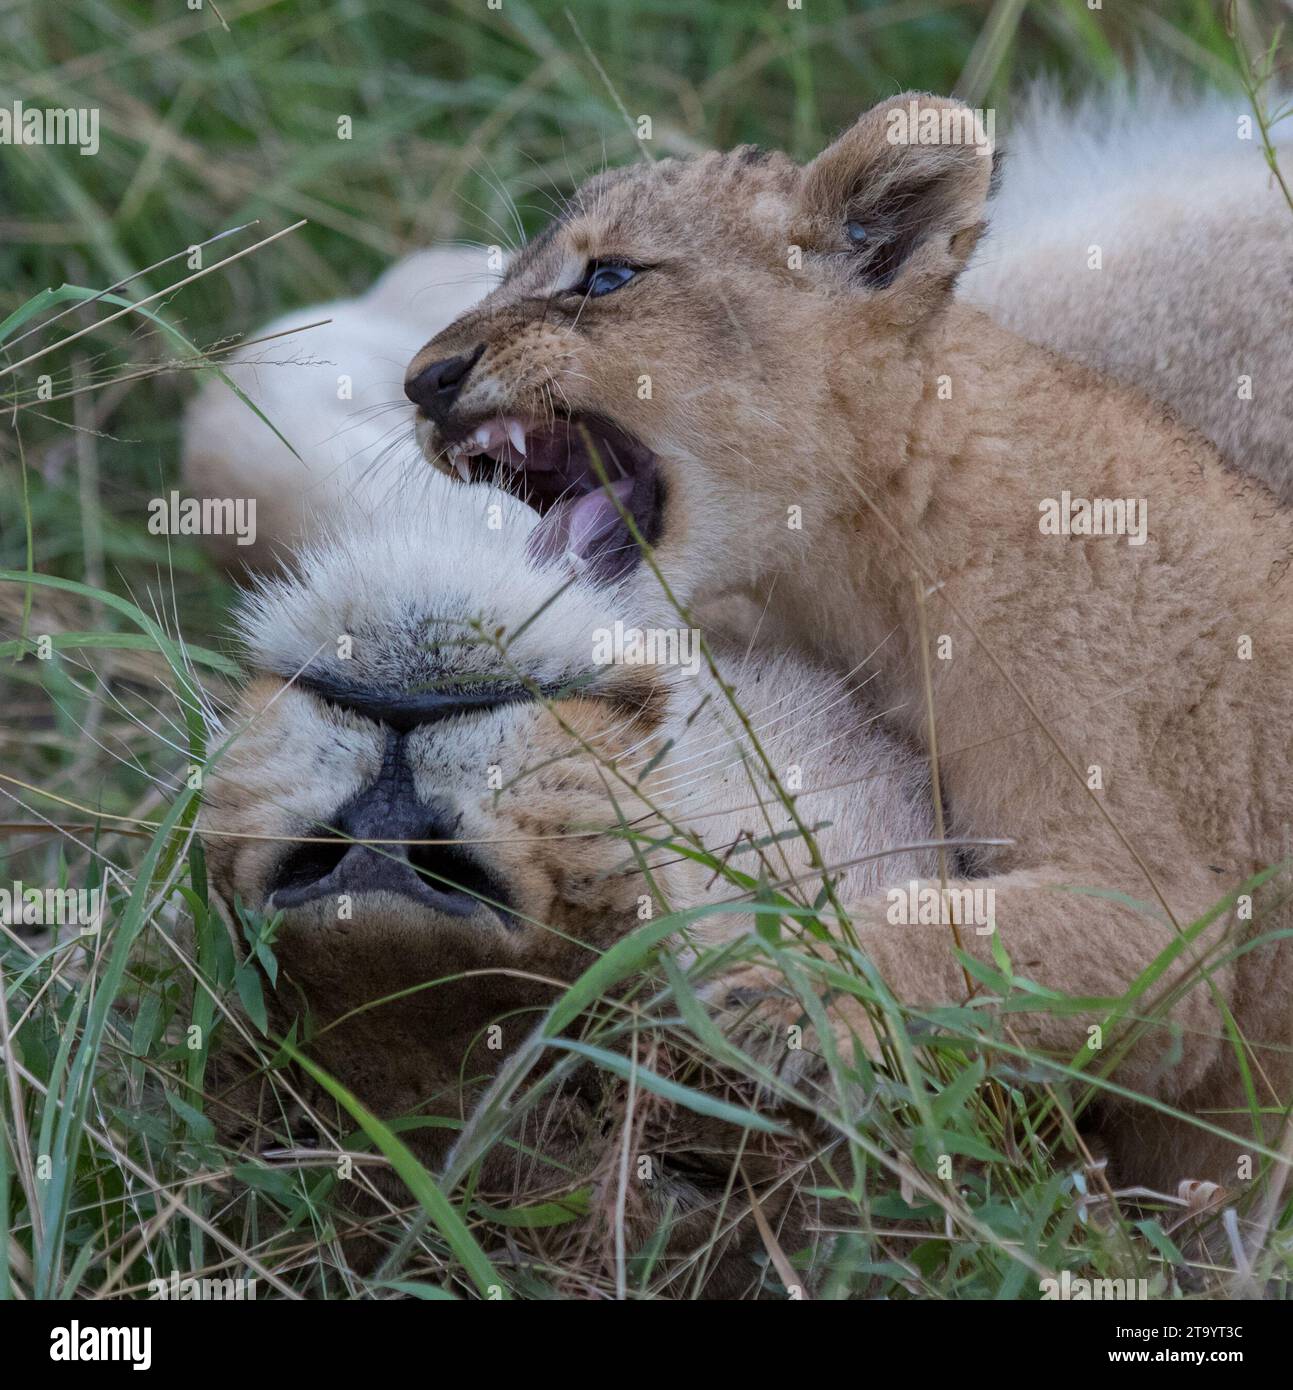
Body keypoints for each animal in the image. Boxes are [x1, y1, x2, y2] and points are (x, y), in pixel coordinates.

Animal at [403, 92, 1293, 1194]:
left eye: (606, 276)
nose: (422, 380)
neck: (855, 570)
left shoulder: (1173, 917)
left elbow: (970, 930)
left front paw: (791, 988)